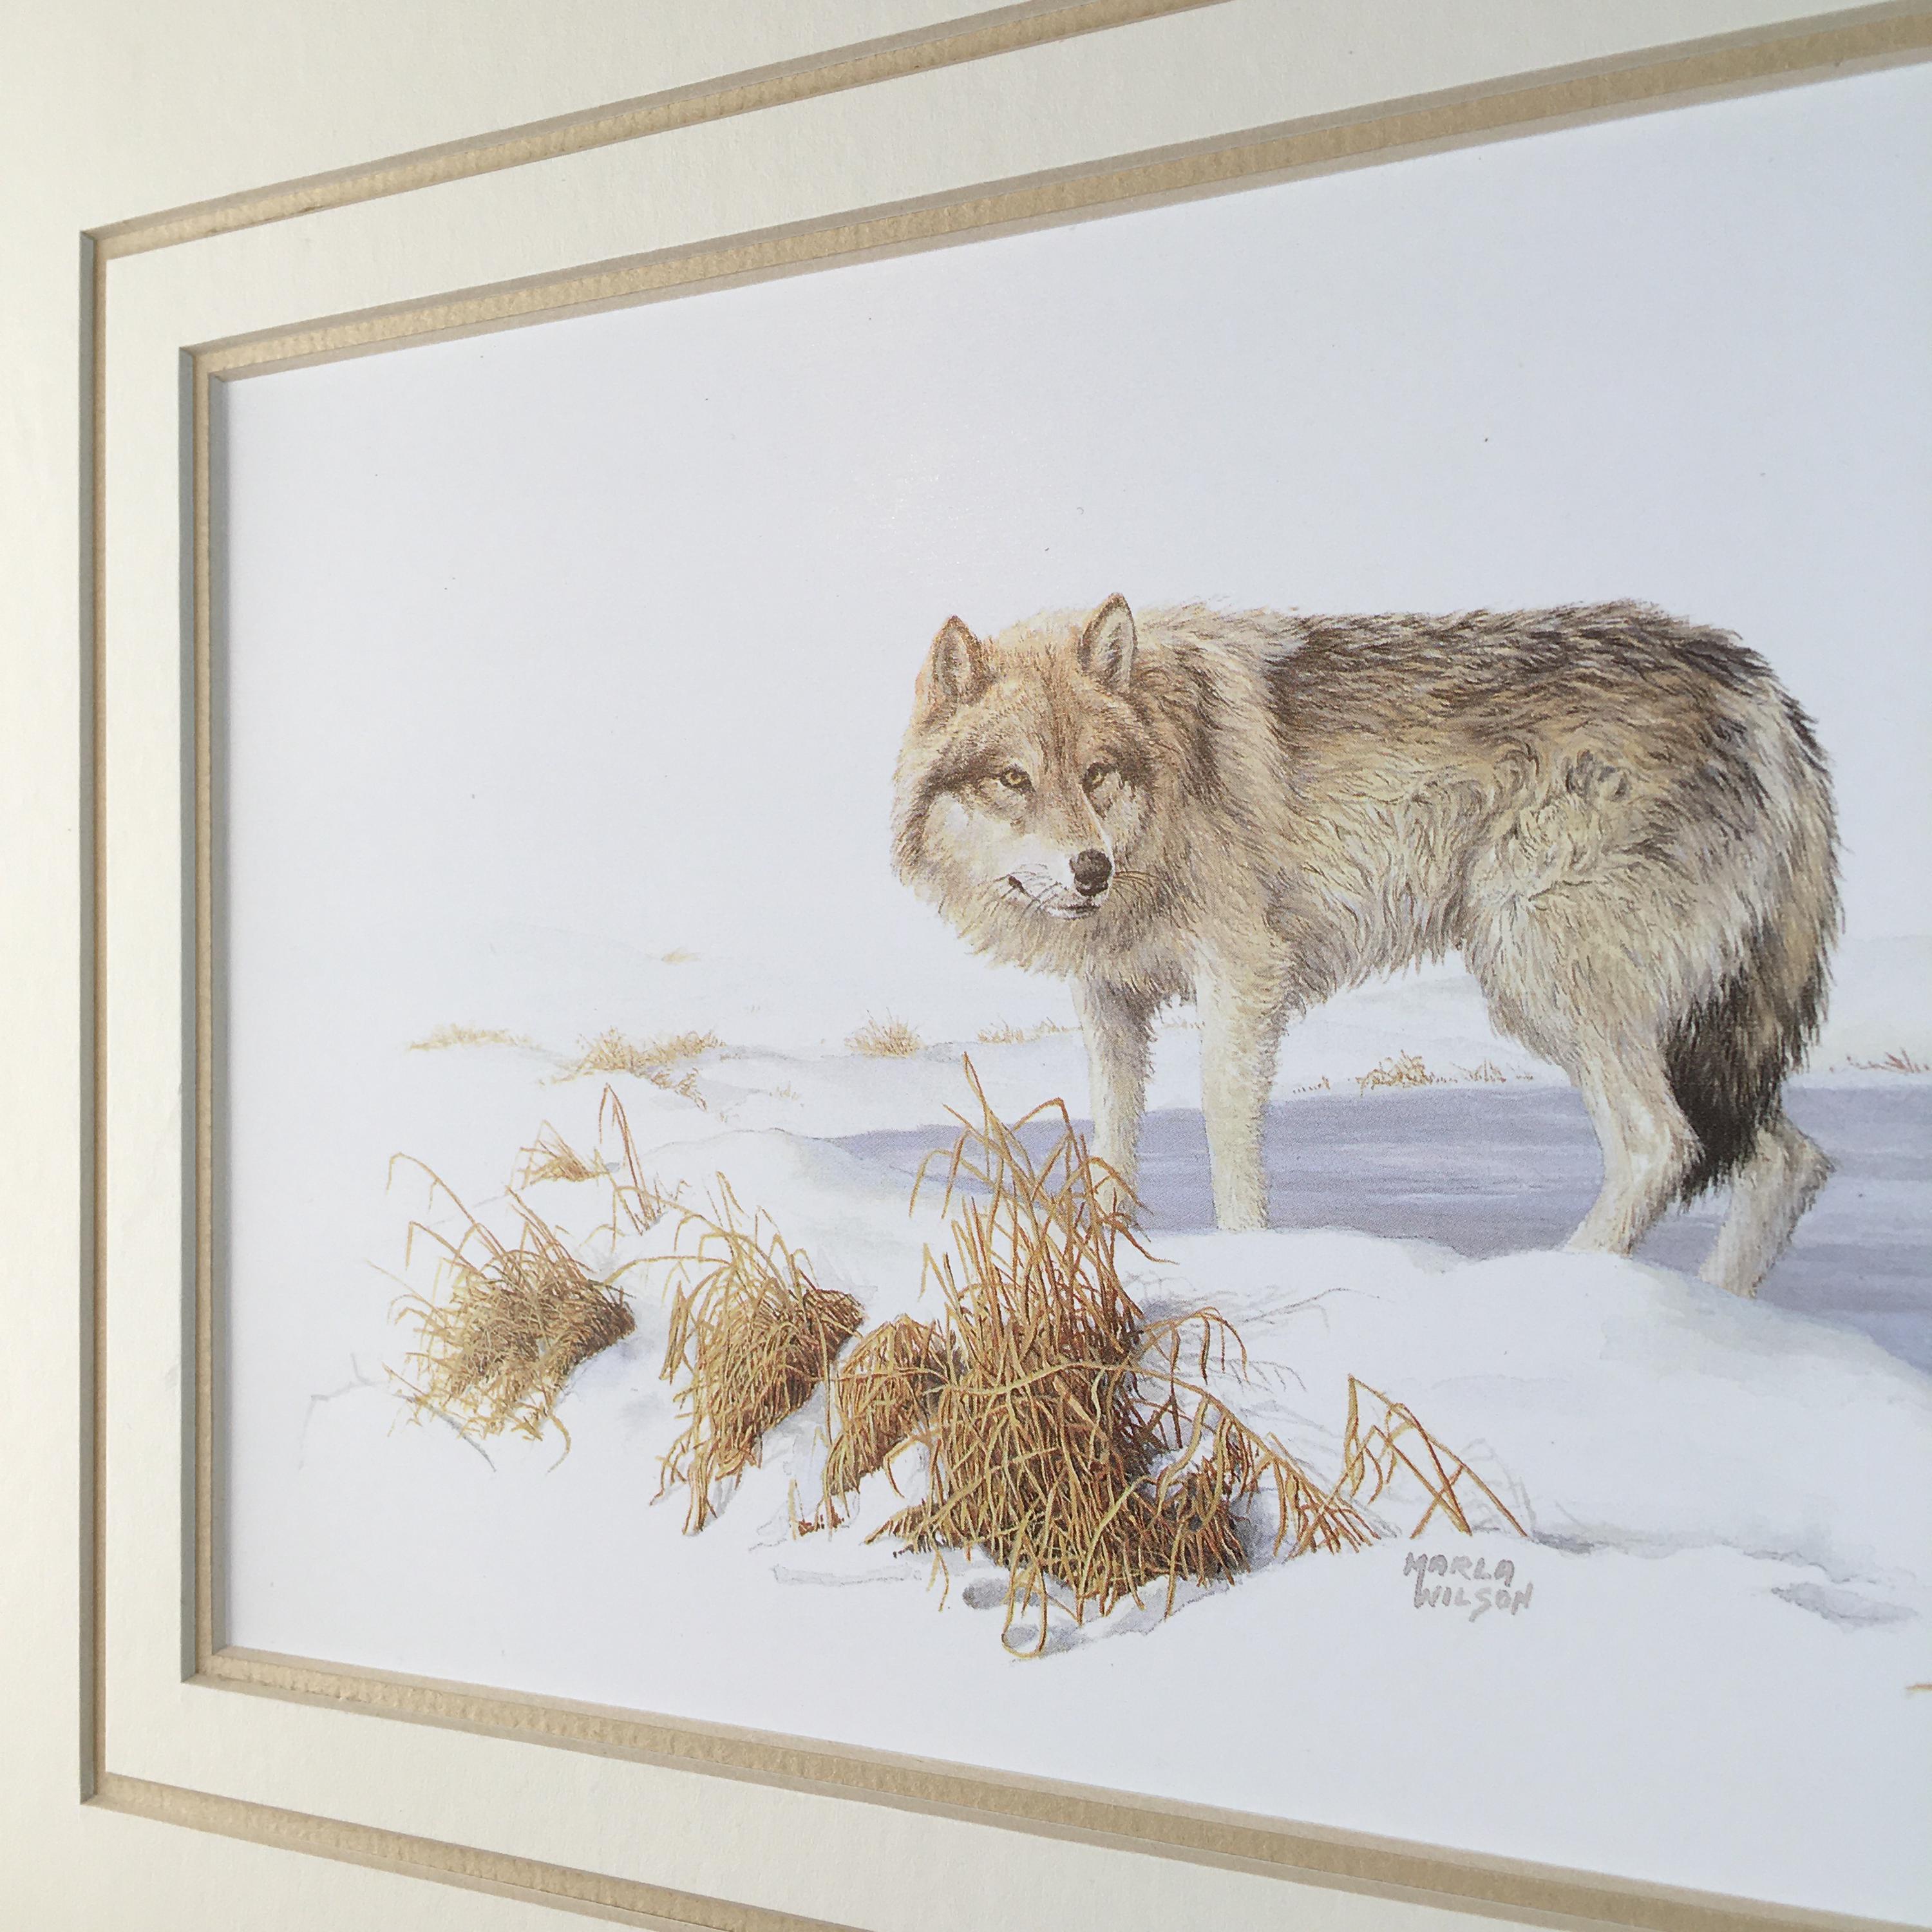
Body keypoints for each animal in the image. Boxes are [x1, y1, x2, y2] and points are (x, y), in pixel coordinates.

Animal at [891, 596, 1839, 1298]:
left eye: (1096, 774)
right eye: (1014, 779)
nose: (1092, 869)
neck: (1170, 767)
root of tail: (1763, 695)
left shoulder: (1242, 978)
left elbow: (1228, 1138)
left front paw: (1245, 1263)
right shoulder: (1111, 1000)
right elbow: (1111, 1145)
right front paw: (1103, 1262)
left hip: (1541, 972)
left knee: (1662, 1146)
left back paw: (1553, 1289)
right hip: (1673, 1026)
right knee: (1790, 1159)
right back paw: (1716, 1311)